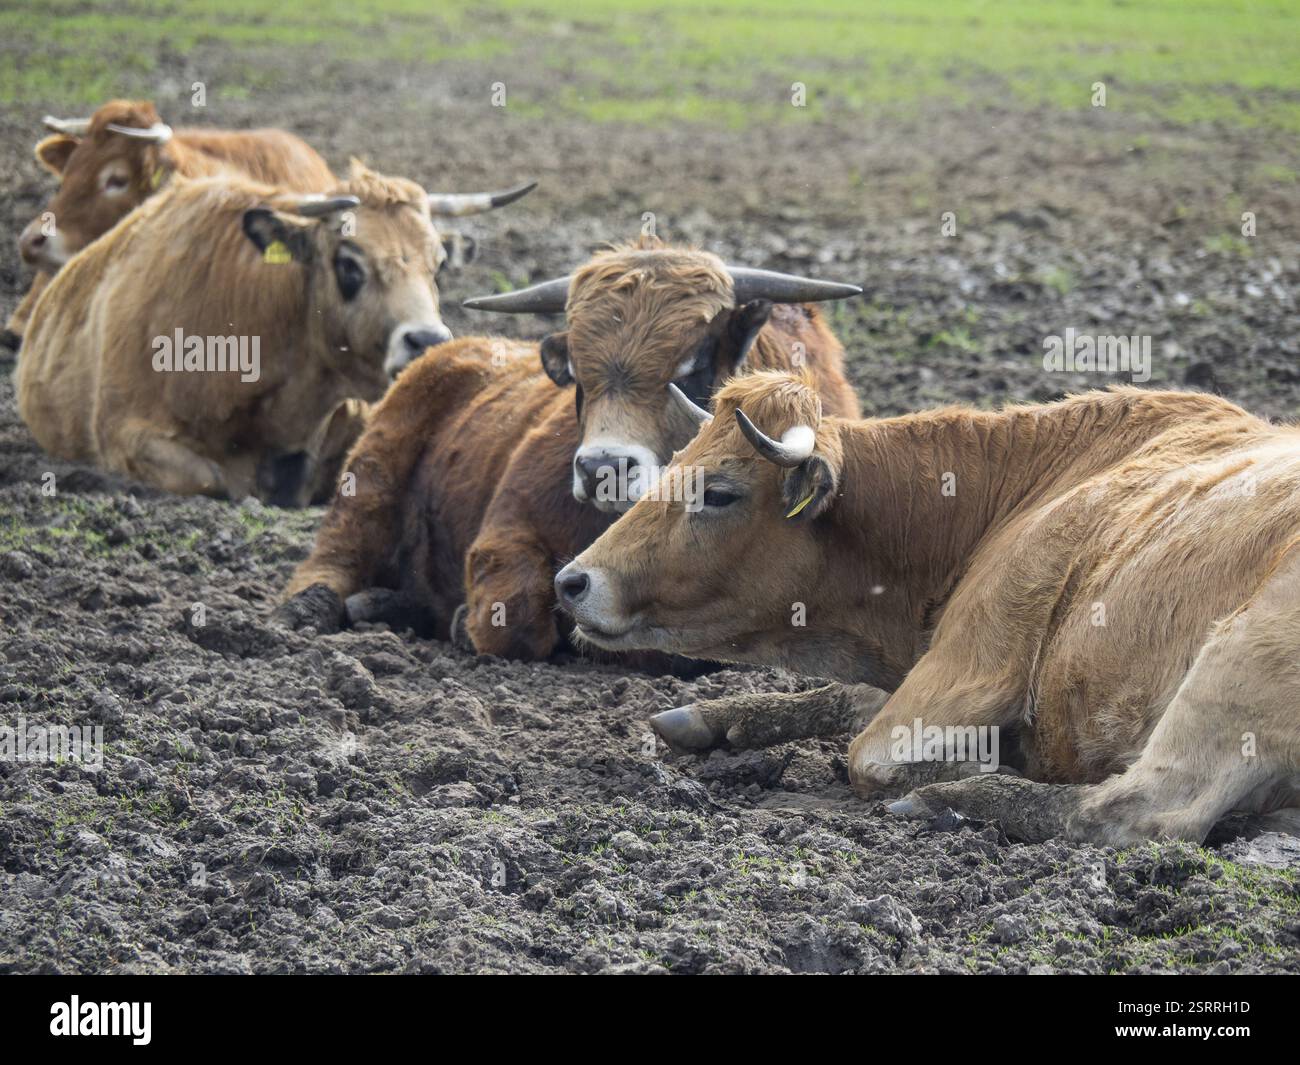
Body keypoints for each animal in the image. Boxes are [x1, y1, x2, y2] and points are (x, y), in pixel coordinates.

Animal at [280, 236, 863, 661]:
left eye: (692, 366)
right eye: (580, 377)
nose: (603, 467)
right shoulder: (506, 532)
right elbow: (514, 613)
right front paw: (466, 626)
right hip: (368, 478)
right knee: (334, 555)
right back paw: (316, 608)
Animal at [555, 371, 1300, 845]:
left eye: (718, 492)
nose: (572, 581)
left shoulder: (968, 665)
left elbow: (869, 752)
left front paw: (976, 764)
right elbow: (852, 695)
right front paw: (721, 716)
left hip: (1236, 656)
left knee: (1137, 811)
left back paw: (960, 796)